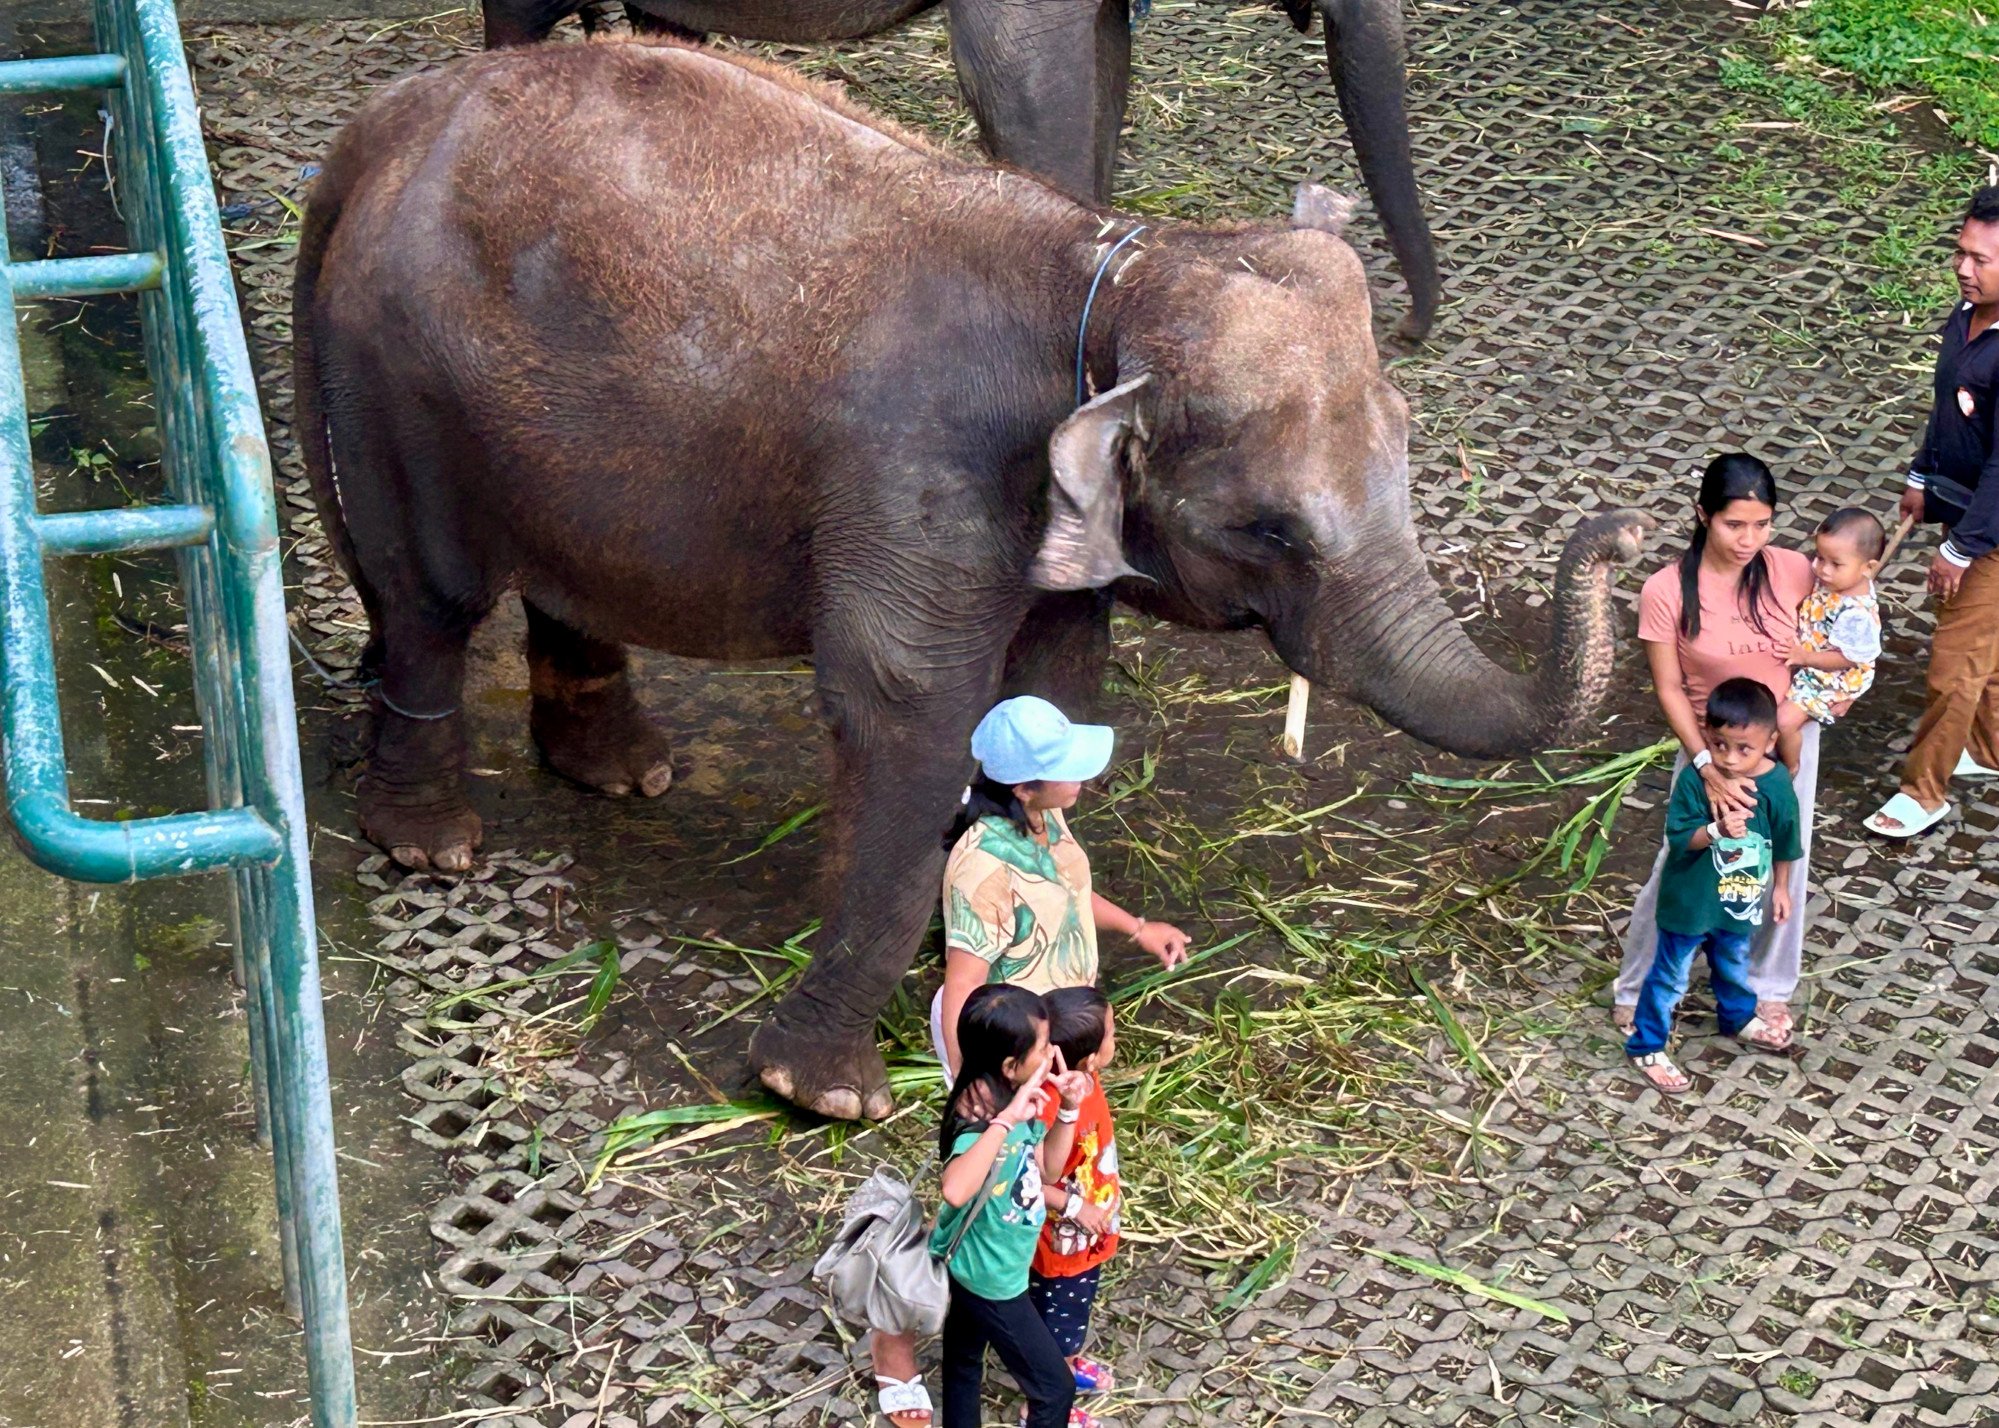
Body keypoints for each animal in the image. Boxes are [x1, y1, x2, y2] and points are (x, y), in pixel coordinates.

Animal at [292, 38, 1644, 1120]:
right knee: (428, 600)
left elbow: (1055, 686)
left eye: (1408, 446)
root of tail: (390, 118)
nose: (1627, 530)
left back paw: (624, 772)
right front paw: (825, 1094)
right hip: (397, 379)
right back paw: (432, 848)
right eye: (1270, 530)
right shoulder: (920, 482)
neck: (1114, 269)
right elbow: (908, 712)